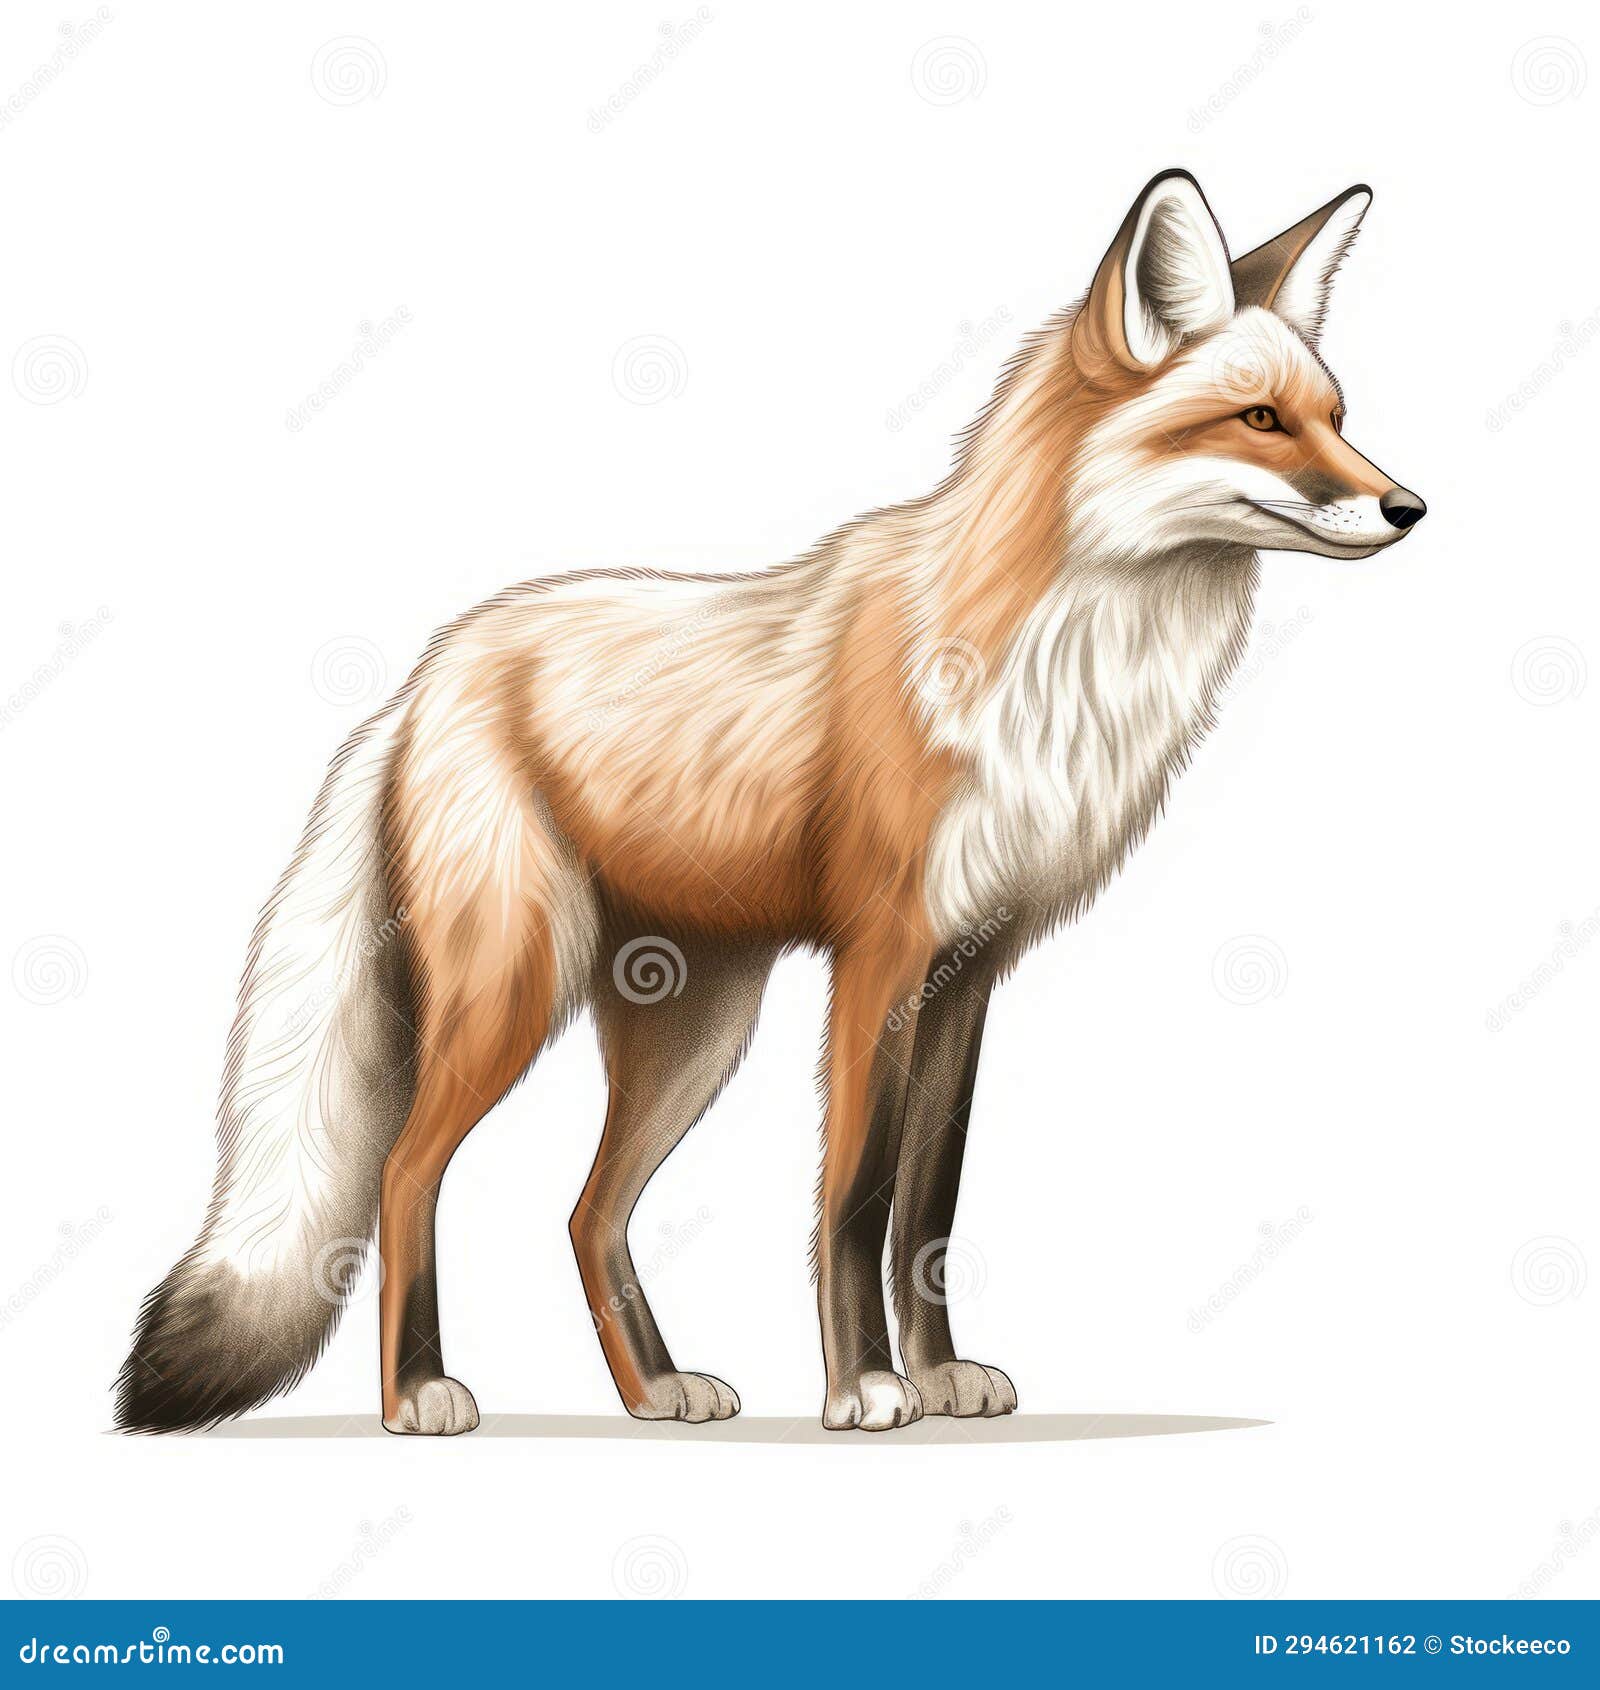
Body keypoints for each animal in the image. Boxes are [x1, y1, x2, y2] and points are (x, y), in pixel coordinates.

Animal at [116, 170, 1424, 1435]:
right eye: (1260, 420)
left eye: (1337, 417)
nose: (1408, 507)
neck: (1054, 660)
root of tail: (425, 676)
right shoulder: (883, 953)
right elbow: (854, 1195)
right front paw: (865, 1388)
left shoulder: (970, 971)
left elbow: (929, 1206)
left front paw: (938, 1375)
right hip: (518, 986)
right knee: (402, 1173)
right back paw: (416, 1396)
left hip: (693, 1027)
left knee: (587, 1209)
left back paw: (655, 1390)